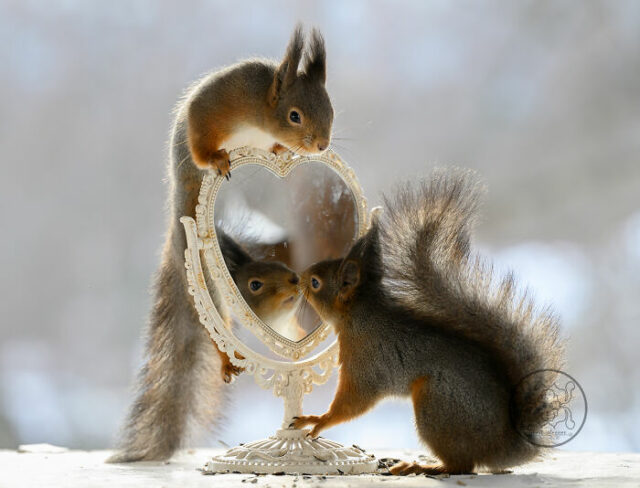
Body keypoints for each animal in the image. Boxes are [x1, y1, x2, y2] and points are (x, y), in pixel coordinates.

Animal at [108, 25, 333, 463]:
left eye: (330, 109)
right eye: (294, 116)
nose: (321, 146)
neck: (260, 110)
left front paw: (279, 150)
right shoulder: (214, 106)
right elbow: (200, 139)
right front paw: (217, 160)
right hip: (209, 279)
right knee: (213, 326)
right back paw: (225, 362)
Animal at [293, 168, 565, 475]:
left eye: (316, 283)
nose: (299, 278)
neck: (359, 316)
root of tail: (503, 446)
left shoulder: (366, 361)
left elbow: (353, 403)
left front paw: (319, 420)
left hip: (436, 402)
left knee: (462, 466)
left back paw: (422, 466)